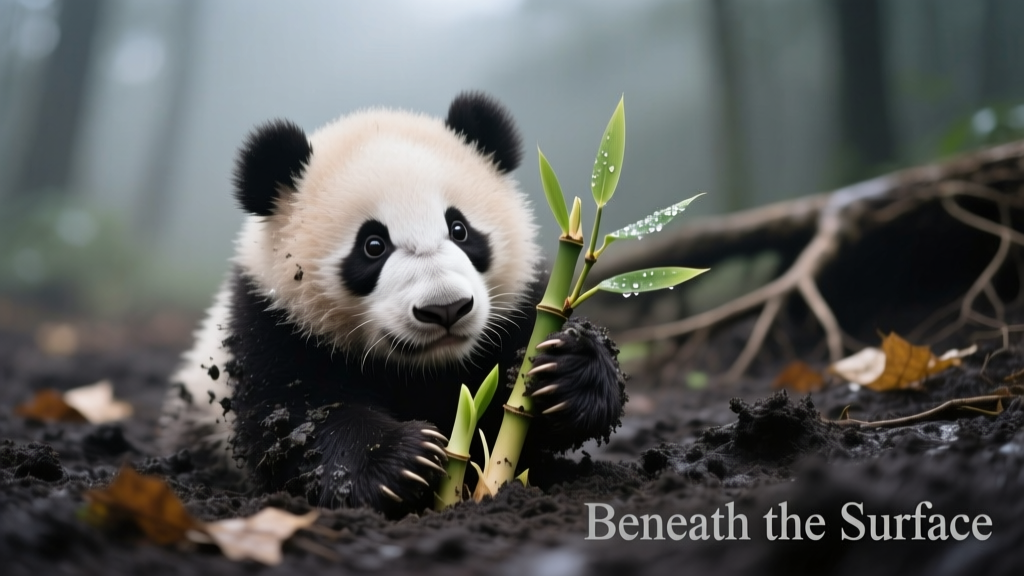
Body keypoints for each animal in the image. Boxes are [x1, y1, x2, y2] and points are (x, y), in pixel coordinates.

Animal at [159, 92, 627, 516]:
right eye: (373, 245)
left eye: (459, 229)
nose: (446, 308)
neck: (426, 368)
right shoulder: (272, 323)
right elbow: (292, 421)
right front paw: (400, 459)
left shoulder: (520, 302)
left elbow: (520, 416)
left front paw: (568, 370)